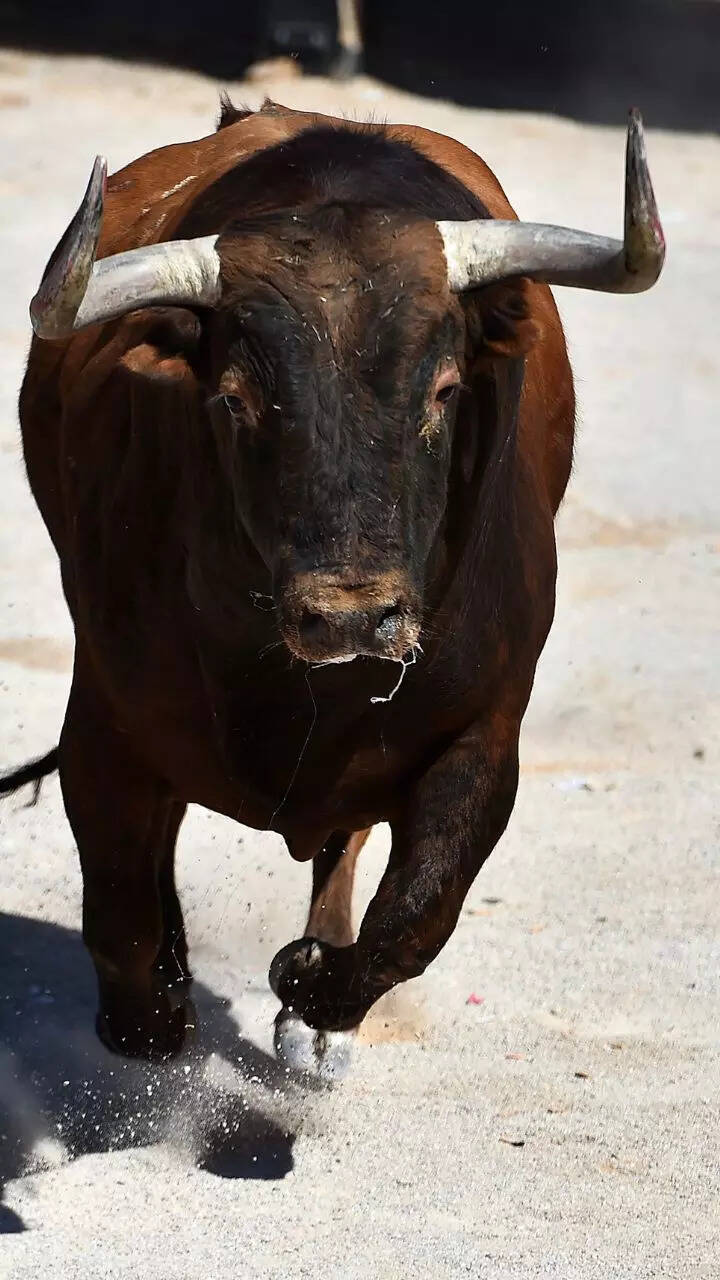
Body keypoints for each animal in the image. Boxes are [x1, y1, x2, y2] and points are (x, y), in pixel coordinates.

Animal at [1, 100, 664, 1077]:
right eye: (232, 398)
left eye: (444, 389)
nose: (352, 616)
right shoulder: (108, 722)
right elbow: (122, 914)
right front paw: (152, 1012)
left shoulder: (483, 735)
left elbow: (416, 917)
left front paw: (311, 986)